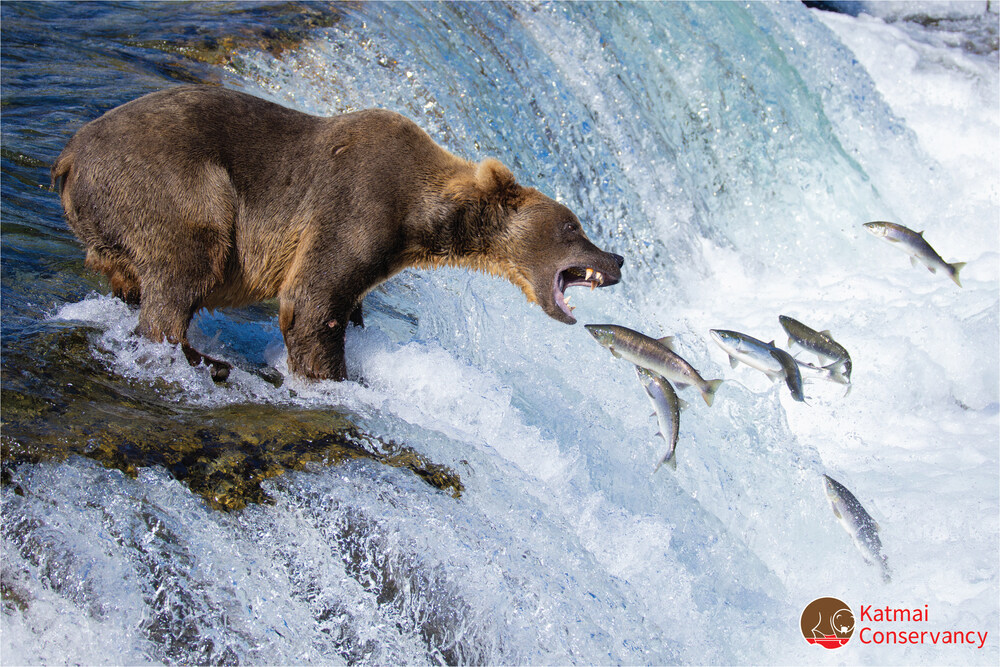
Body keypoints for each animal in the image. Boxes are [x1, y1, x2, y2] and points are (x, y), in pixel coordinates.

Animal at [52, 85, 624, 382]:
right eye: (573, 225)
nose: (617, 259)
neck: (423, 215)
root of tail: (69, 154)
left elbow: (345, 302)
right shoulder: (360, 202)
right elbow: (311, 301)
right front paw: (333, 378)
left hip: (107, 226)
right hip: (170, 181)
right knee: (189, 261)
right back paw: (202, 358)